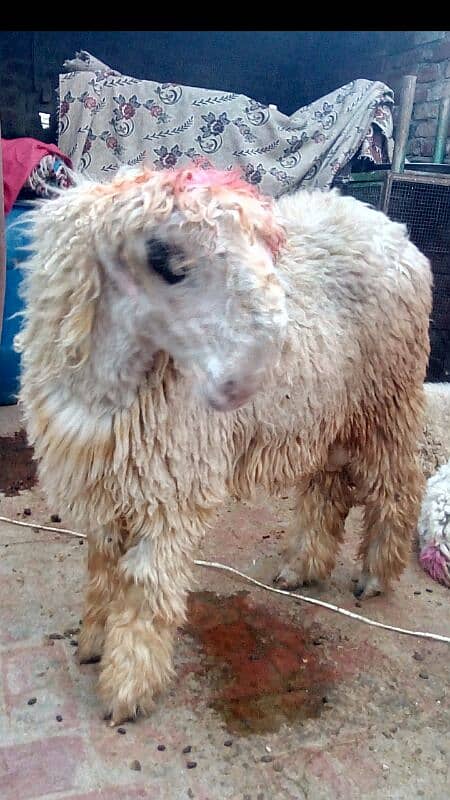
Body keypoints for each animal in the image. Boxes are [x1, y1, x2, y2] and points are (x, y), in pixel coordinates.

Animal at [15, 166, 432, 725]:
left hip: (387, 398)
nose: (253, 370)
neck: (109, 388)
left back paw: (376, 574)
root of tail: (392, 227)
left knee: (399, 482)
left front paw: (128, 686)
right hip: (329, 410)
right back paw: (303, 567)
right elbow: (103, 568)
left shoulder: (169, 485)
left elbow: (146, 587)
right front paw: (94, 643)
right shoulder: (107, 481)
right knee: (330, 484)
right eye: (166, 260)